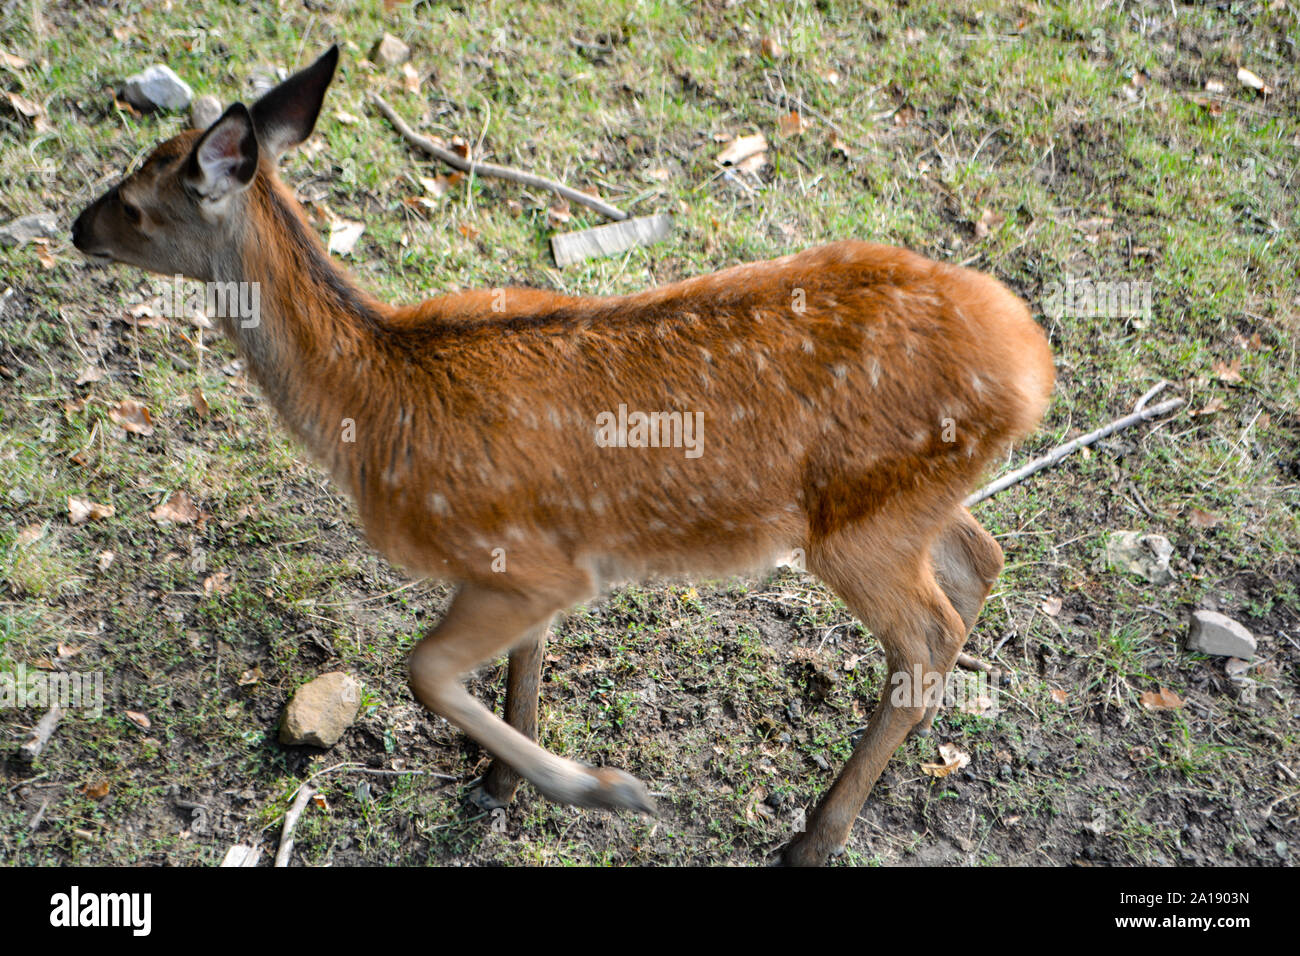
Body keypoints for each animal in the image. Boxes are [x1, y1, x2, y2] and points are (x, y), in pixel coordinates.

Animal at [72, 45, 1054, 865]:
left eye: (135, 201)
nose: (80, 227)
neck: (374, 402)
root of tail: (1033, 364)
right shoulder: (537, 559)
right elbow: (520, 666)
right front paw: (498, 785)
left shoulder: (521, 559)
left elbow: (426, 670)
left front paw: (602, 790)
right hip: (909, 502)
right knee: (981, 558)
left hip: (853, 527)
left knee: (929, 632)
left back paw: (814, 838)